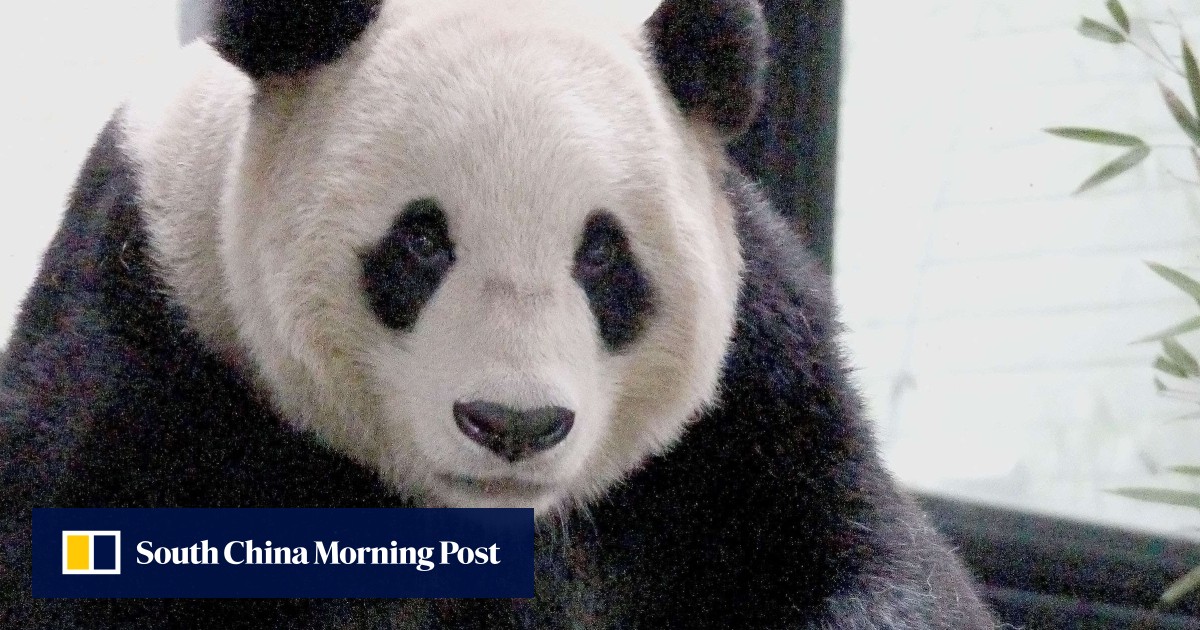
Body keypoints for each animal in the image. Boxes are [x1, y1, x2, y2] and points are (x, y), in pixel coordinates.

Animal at [0, 0, 996, 627]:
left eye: (601, 253)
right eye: (421, 241)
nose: (513, 424)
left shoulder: (751, 407)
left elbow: (863, 560)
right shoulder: (148, 359)